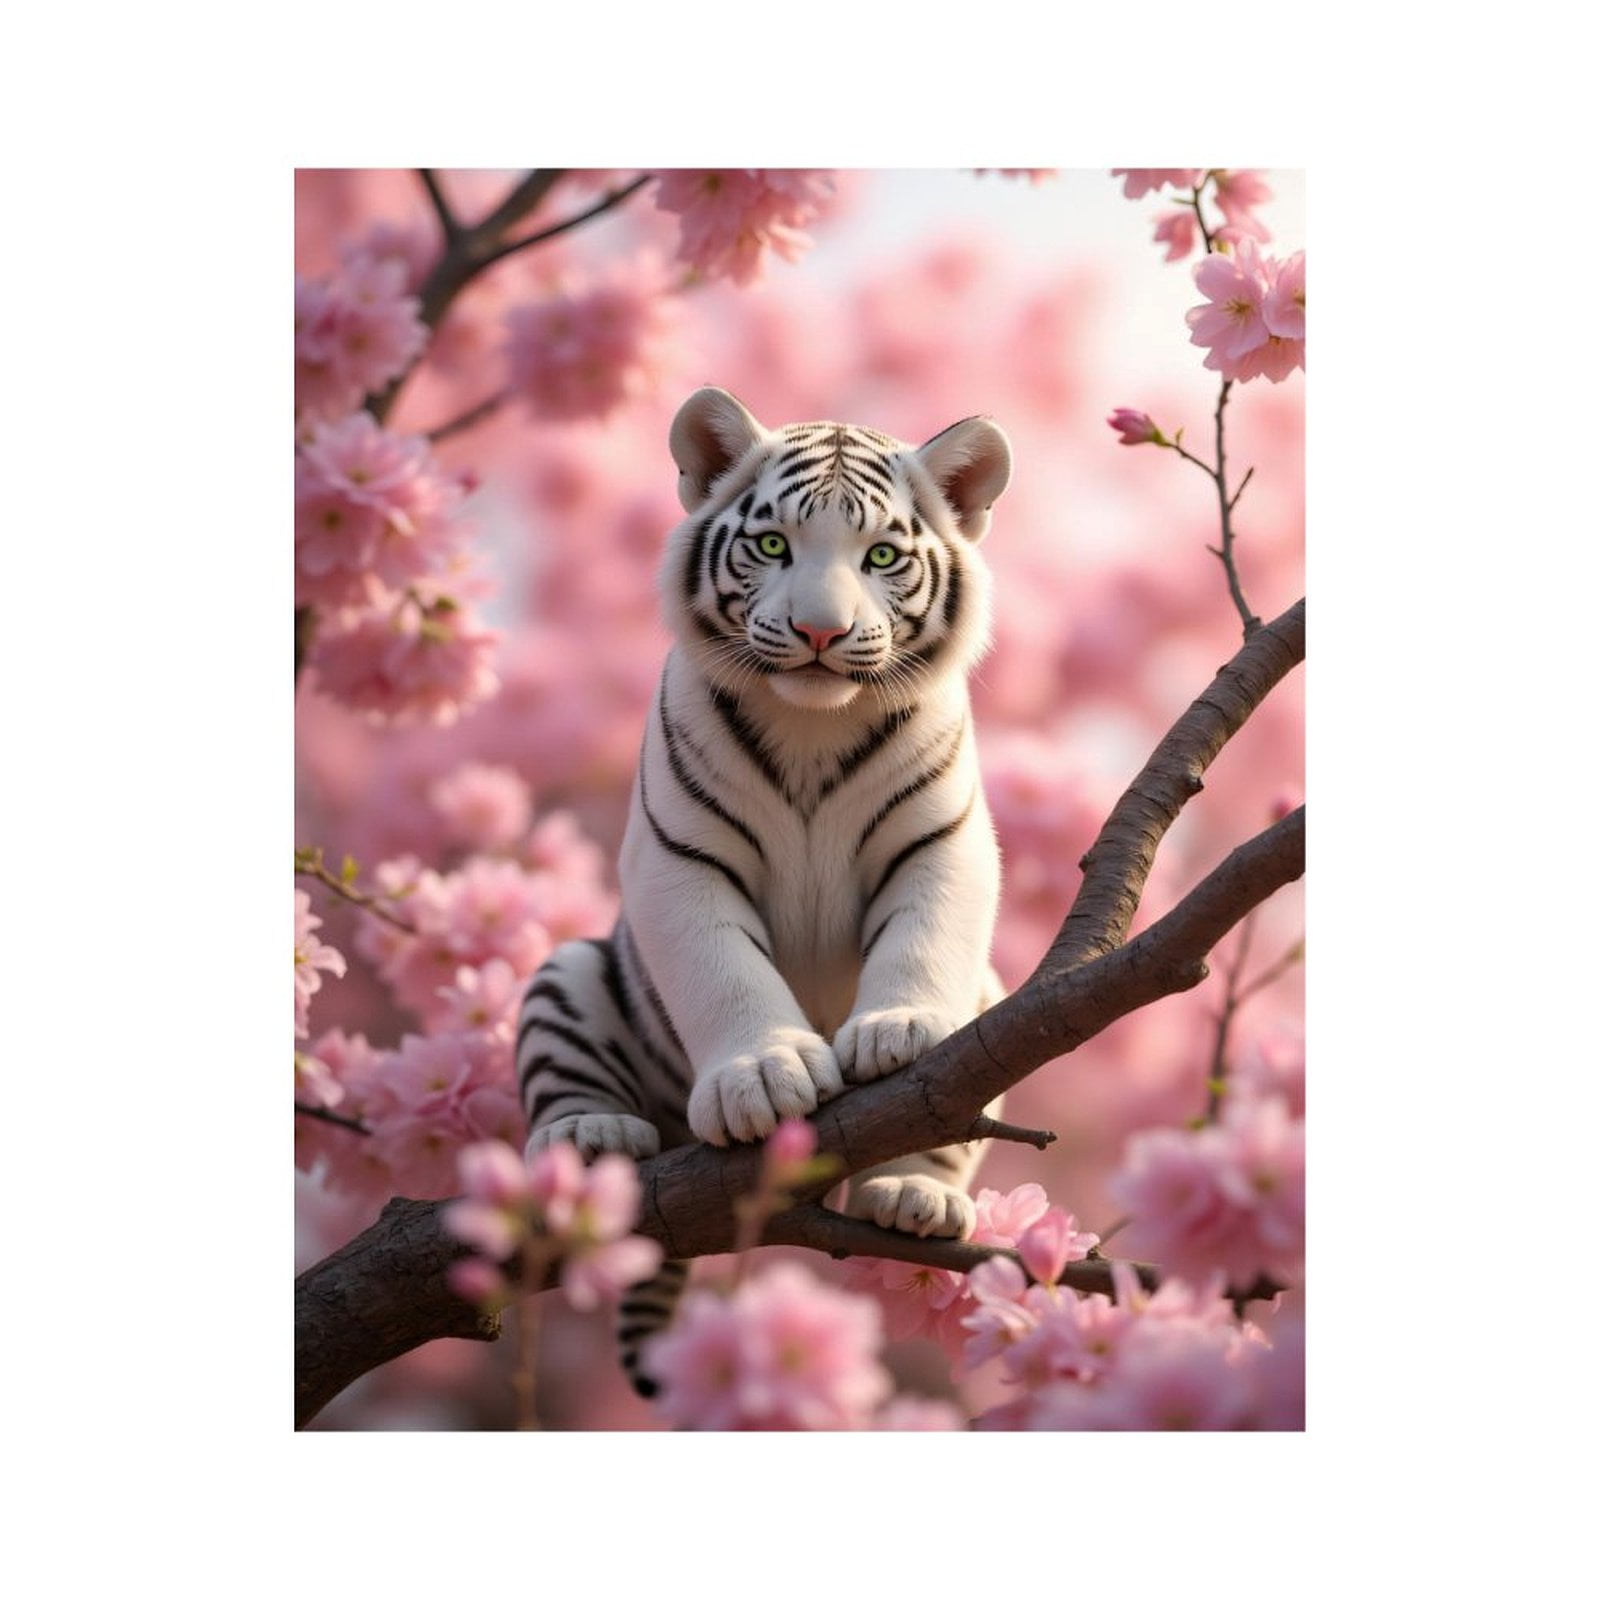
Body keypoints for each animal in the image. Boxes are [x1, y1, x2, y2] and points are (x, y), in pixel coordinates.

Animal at [516, 385, 1012, 1394]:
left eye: (882, 556)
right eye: (775, 545)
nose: (822, 631)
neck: (815, 726)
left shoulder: (943, 840)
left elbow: (925, 936)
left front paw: (898, 1032)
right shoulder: (677, 855)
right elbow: (723, 972)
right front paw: (763, 1076)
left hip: (986, 1002)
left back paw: (915, 1193)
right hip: (566, 973)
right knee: (570, 1089)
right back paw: (591, 1140)